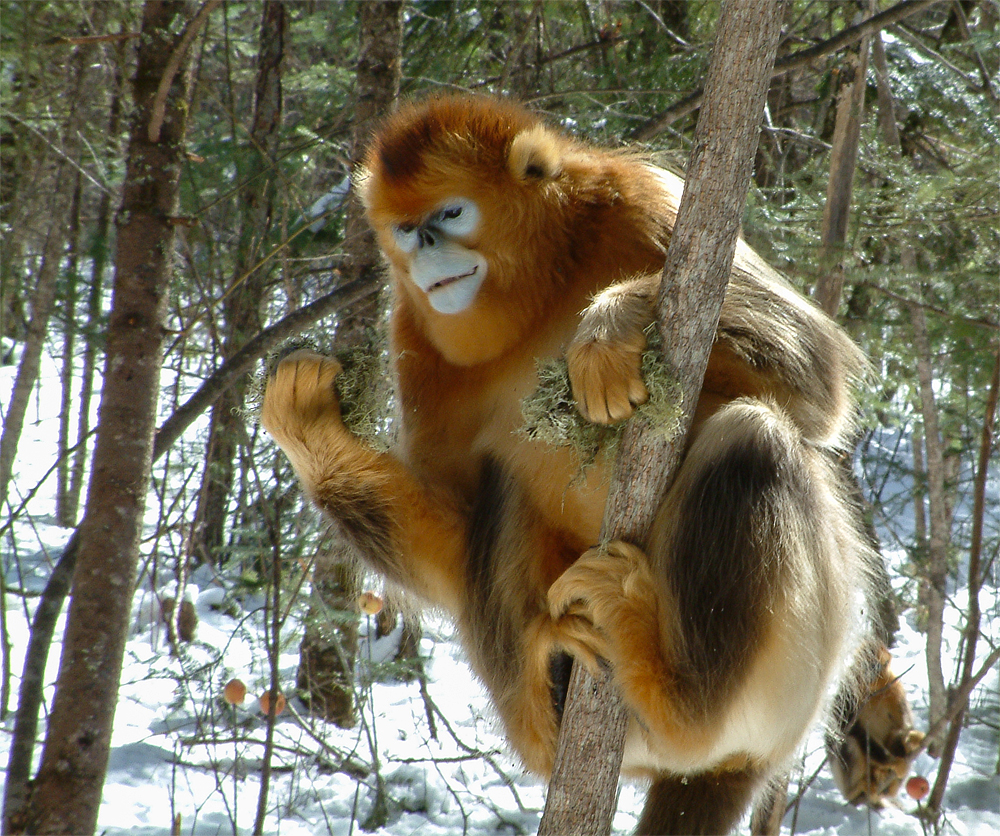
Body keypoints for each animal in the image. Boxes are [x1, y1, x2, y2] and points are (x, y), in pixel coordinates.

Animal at [261, 94, 877, 834]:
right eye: (405, 230)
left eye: (451, 214)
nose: (426, 249)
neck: (541, 294)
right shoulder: (415, 336)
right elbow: (453, 531)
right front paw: (314, 432)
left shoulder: (651, 201)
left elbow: (819, 383)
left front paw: (609, 328)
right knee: (501, 490)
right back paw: (548, 674)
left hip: (790, 679)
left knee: (754, 436)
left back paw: (677, 697)